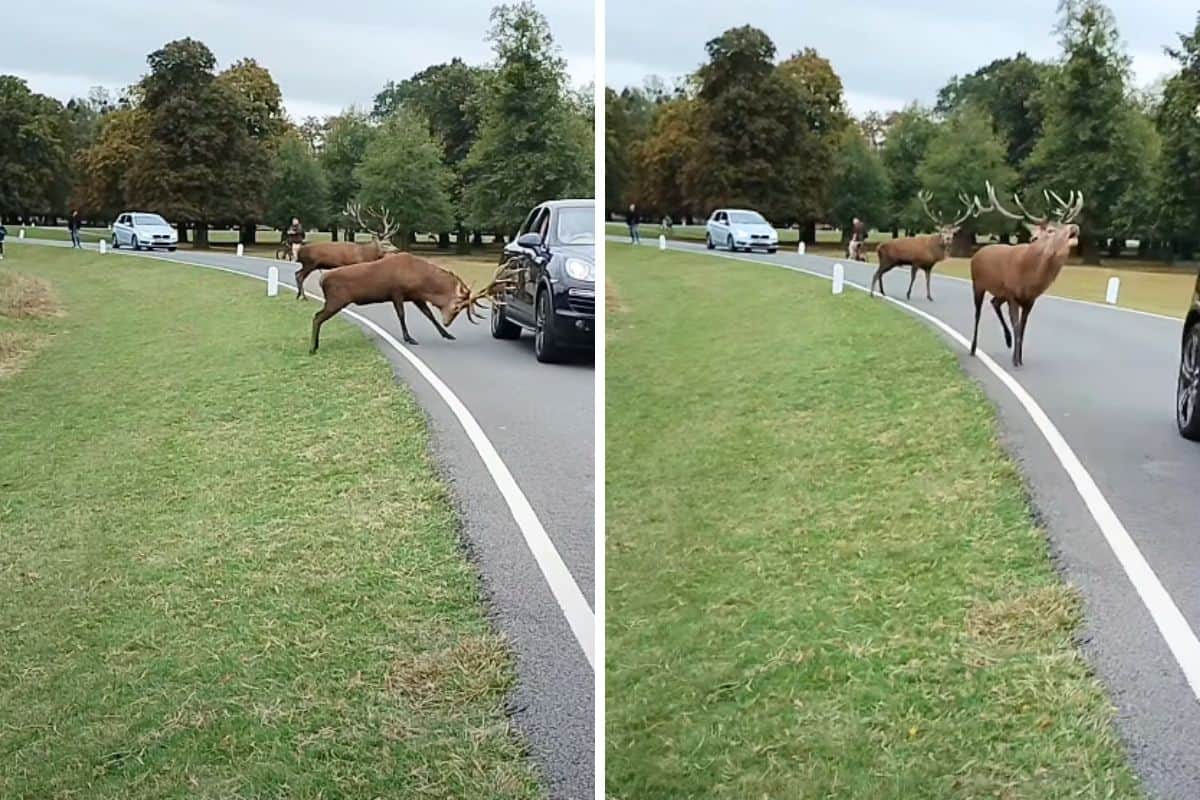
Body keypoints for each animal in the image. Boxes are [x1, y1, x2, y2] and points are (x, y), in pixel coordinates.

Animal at [309, 254, 518, 354]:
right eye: (458, 307)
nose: (448, 322)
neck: (421, 282)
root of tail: (322, 279)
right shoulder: (397, 292)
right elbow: (402, 315)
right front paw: (409, 338)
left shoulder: (416, 296)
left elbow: (429, 315)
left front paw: (447, 334)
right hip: (336, 300)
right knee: (317, 317)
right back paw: (312, 348)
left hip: (334, 301)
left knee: (317, 316)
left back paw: (316, 346)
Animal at [968, 181, 1083, 367]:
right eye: (1051, 230)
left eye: (1065, 225)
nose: (1074, 227)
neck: (1030, 278)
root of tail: (977, 254)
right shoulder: (1012, 294)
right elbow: (1016, 325)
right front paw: (1015, 360)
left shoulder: (1030, 299)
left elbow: (1023, 327)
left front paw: (1019, 358)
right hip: (978, 284)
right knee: (977, 313)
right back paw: (973, 348)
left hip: (1000, 292)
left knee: (994, 302)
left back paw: (1008, 341)